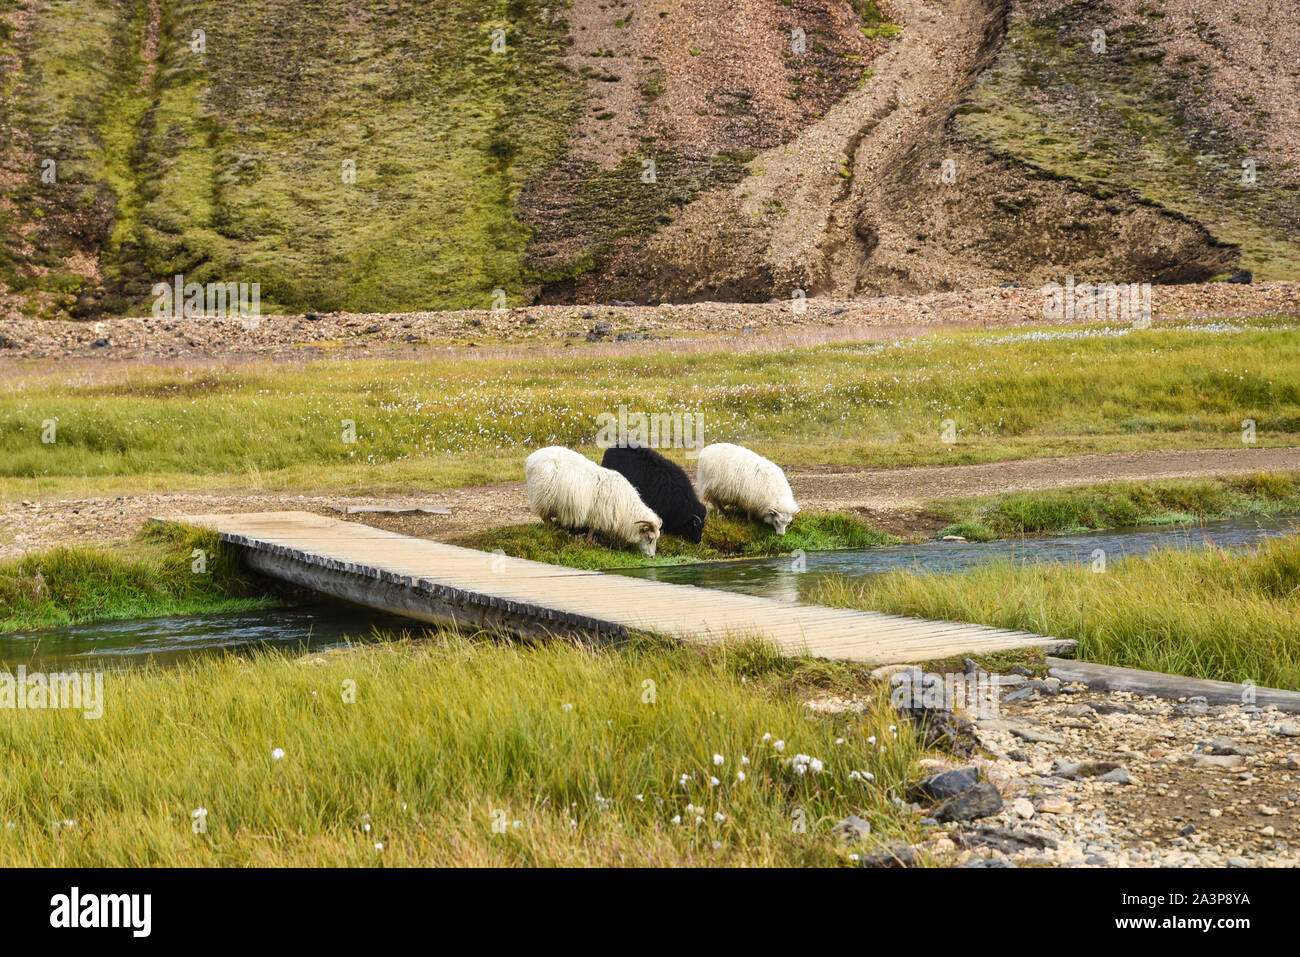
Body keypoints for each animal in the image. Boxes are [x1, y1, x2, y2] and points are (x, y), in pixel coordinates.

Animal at [524, 446, 663, 555]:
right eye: (649, 538)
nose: (652, 557)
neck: (626, 507)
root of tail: (531, 457)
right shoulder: (599, 513)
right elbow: (593, 528)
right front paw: (589, 541)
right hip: (542, 495)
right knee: (544, 516)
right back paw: (552, 529)